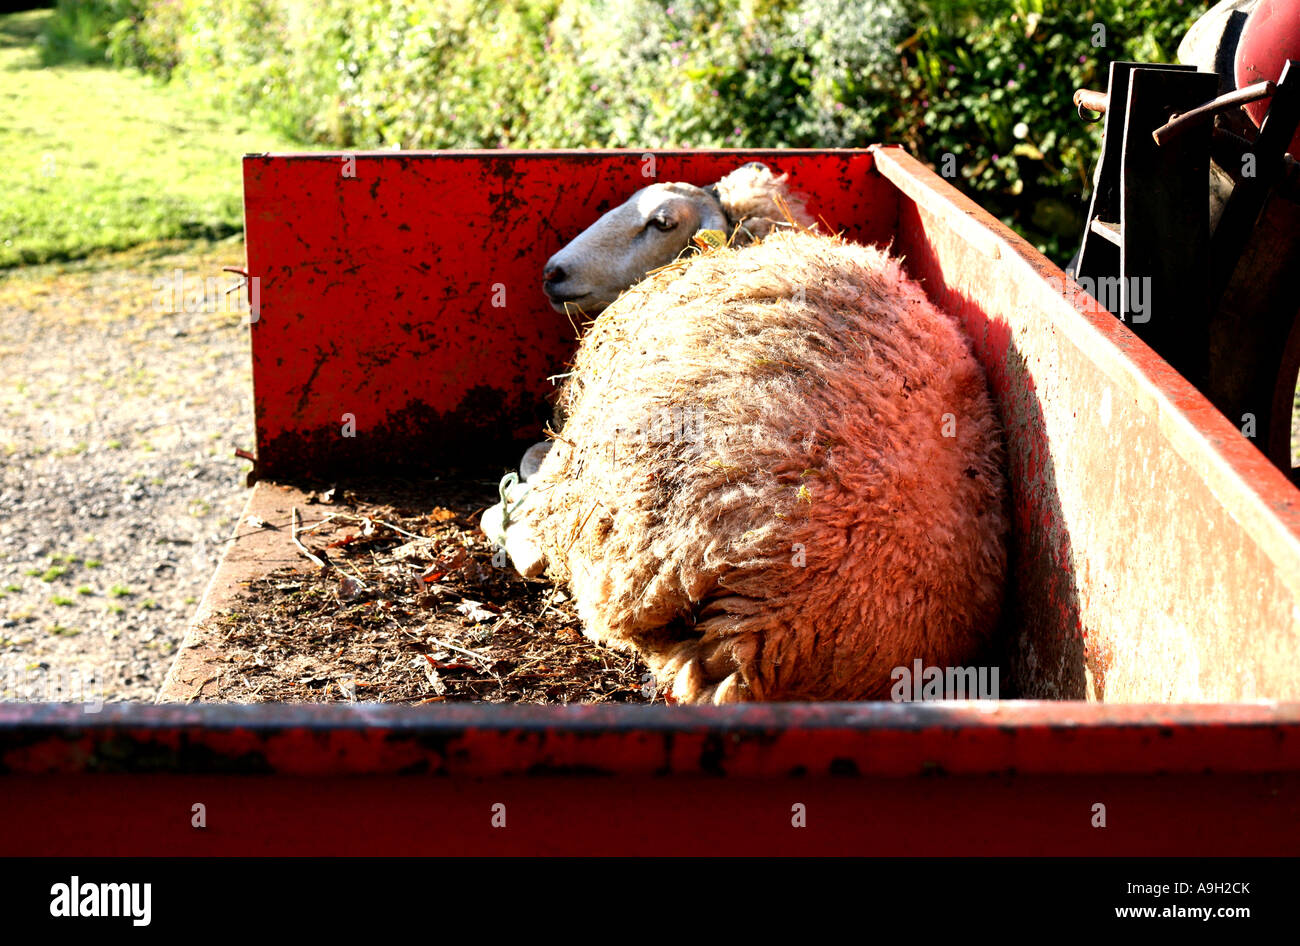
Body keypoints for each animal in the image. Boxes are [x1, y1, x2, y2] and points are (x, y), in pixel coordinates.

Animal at [484, 168, 1008, 704]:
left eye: (662, 222)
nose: (552, 273)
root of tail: (764, 631)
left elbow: (532, 460)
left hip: (619, 506)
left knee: (542, 538)